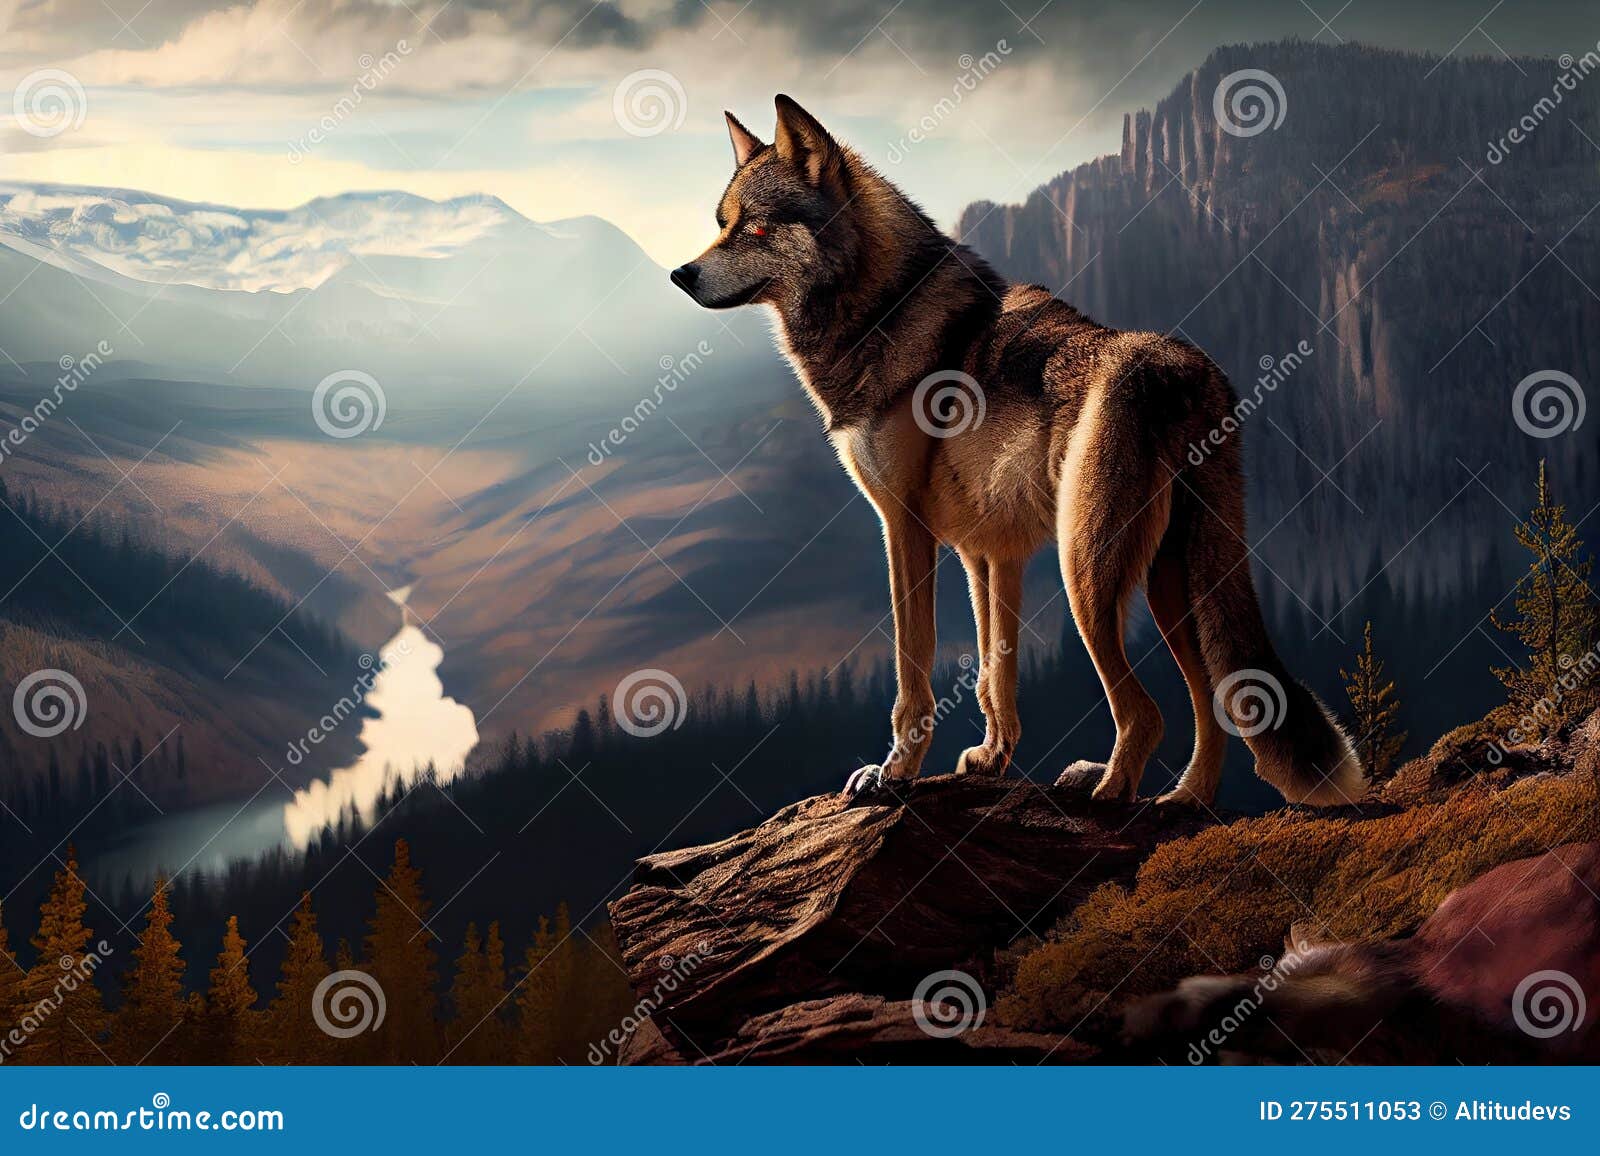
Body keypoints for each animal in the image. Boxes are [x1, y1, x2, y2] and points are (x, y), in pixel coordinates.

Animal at [670, 95, 1364, 807]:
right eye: (722, 225)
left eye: (755, 229)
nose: (679, 274)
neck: (883, 313)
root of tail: (1187, 374)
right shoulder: (987, 554)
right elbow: (992, 673)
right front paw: (992, 760)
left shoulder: (904, 529)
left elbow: (914, 671)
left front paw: (895, 773)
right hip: (1170, 585)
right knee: (1211, 705)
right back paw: (1176, 802)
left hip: (1087, 570)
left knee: (1147, 712)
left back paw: (1107, 793)